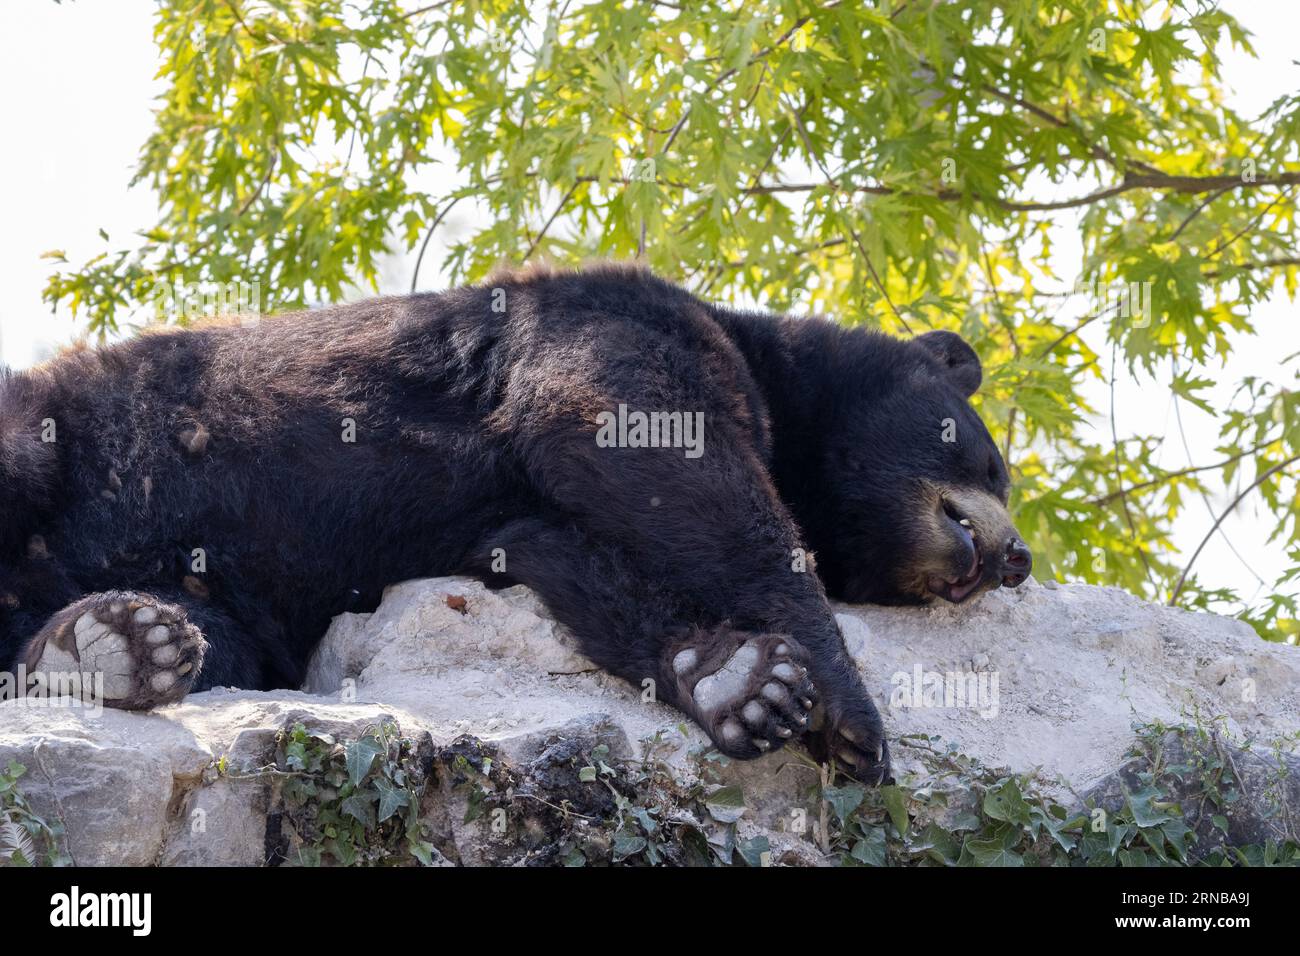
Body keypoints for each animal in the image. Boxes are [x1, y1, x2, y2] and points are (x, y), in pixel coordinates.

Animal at [0, 262, 1031, 784]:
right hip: (61, 428)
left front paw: (740, 682)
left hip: (214, 598)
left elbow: (567, 553)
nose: (1015, 556)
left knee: (213, 639)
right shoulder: (612, 315)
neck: (768, 377)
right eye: (992, 462)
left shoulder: (503, 515)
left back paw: (109, 644)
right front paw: (849, 712)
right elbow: (635, 434)